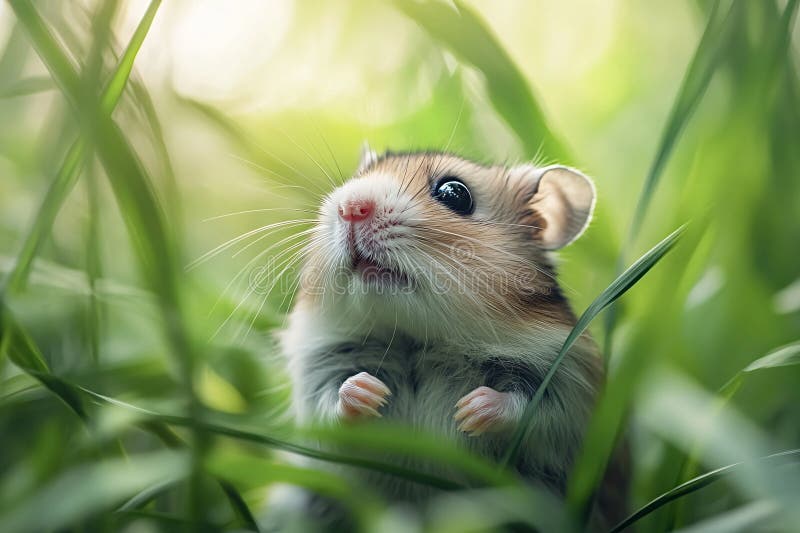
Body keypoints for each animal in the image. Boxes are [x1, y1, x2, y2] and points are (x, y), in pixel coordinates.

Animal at [278, 146, 608, 523]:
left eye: (455, 194)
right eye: (355, 179)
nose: (350, 207)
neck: (417, 338)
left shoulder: (569, 391)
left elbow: (527, 409)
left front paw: (470, 410)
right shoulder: (321, 368)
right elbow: (331, 405)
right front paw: (369, 391)